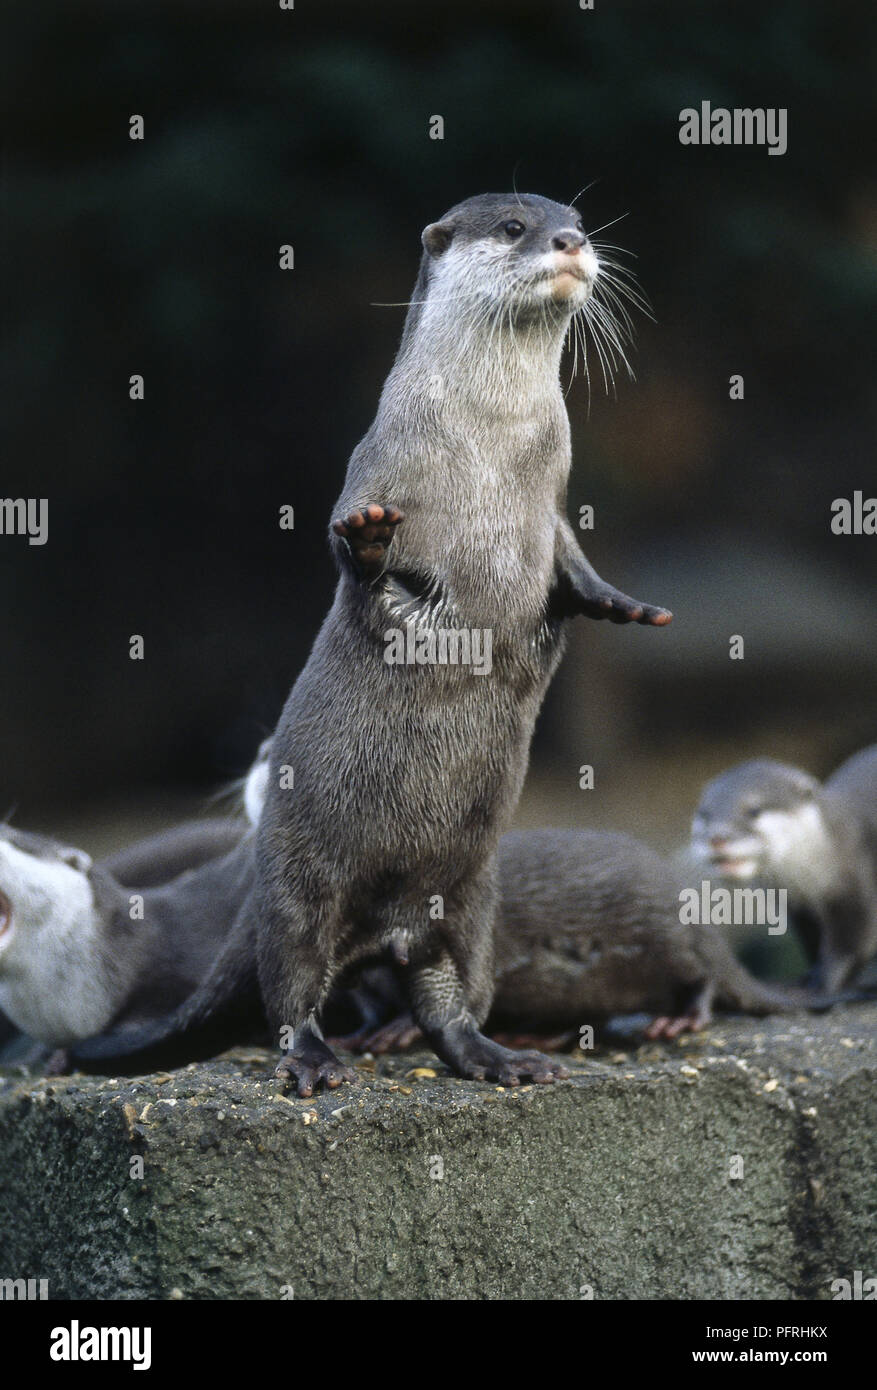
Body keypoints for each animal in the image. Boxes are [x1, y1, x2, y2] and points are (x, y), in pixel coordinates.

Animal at [255, 192, 672, 1096]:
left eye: (574, 217)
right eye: (514, 226)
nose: (571, 241)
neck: (491, 448)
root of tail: (380, 931)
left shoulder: (552, 510)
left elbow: (574, 565)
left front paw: (622, 606)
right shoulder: (372, 467)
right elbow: (353, 558)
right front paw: (371, 543)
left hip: (472, 900)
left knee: (447, 998)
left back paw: (498, 1056)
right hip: (294, 885)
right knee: (293, 985)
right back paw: (313, 1059)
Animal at [690, 745, 877, 992]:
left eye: (754, 810)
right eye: (704, 814)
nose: (717, 838)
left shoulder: (857, 886)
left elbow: (851, 945)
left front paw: (826, 981)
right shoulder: (801, 910)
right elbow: (813, 941)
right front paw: (809, 974)